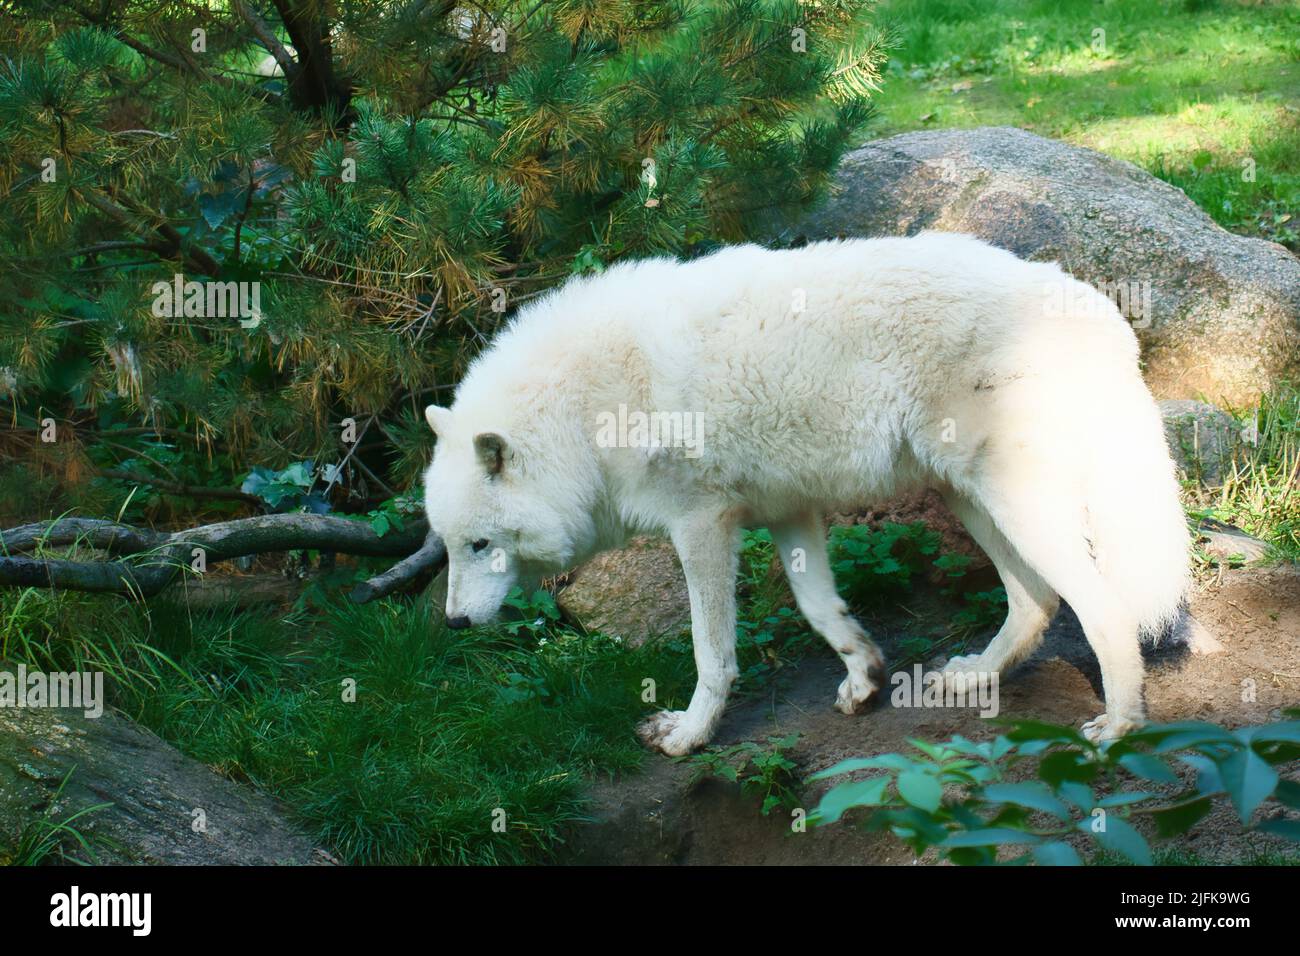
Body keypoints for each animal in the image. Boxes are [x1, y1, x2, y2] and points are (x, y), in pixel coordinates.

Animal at [422, 232, 1190, 756]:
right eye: (453, 548)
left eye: (481, 545)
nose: (452, 624)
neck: (582, 412)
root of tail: (1098, 309)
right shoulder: (788, 511)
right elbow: (822, 609)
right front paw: (865, 678)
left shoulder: (701, 526)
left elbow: (711, 651)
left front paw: (690, 732)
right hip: (972, 499)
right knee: (1037, 601)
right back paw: (973, 677)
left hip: (1011, 503)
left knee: (1102, 609)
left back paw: (1122, 724)